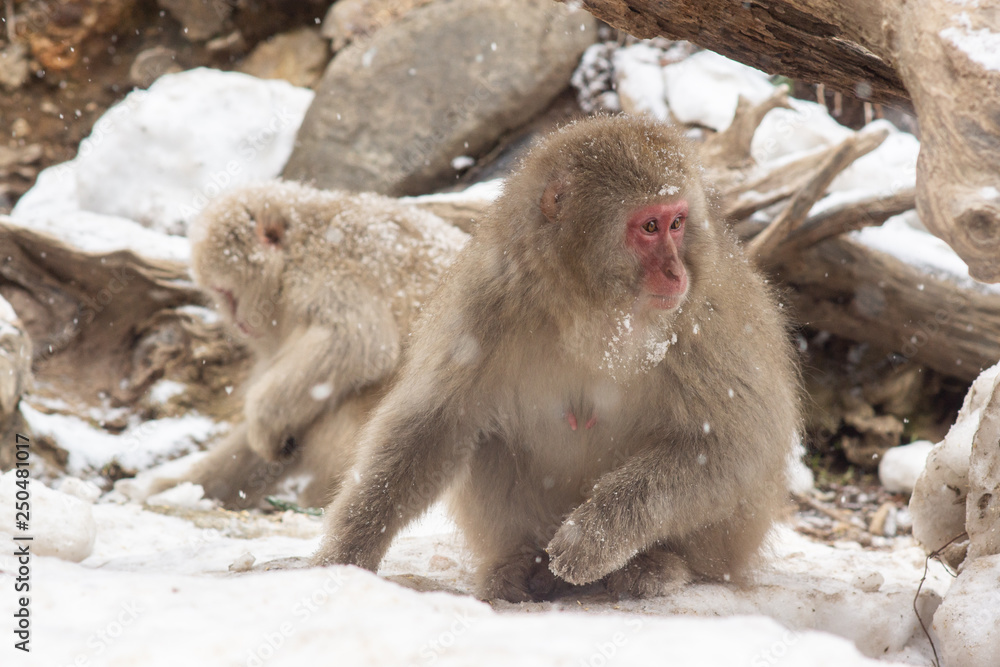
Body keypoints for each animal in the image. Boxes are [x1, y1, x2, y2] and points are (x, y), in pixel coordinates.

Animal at [150, 181, 467, 509]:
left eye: (226, 292)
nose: (238, 322)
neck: (300, 242)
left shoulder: (327, 270)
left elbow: (360, 345)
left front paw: (263, 425)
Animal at [313, 115, 801, 602]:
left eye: (677, 223)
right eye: (650, 227)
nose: (676, 272)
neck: (587, 310)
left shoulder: (704, 320)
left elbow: (735, 443)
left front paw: (595, 536)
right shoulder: (484, 301)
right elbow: (434, 425)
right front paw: (346, 552)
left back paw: (655, 565)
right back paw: (521, 567)